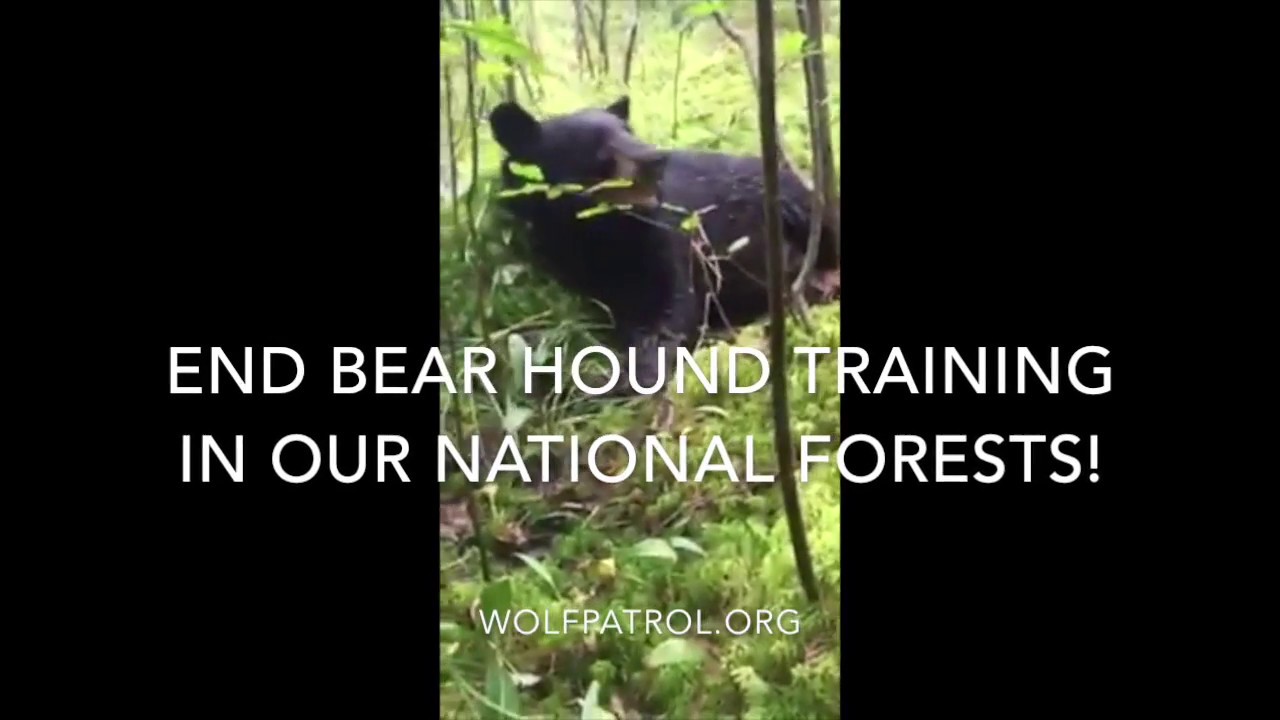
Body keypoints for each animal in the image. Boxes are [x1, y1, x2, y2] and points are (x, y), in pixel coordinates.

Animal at [488, 96, 840, 390]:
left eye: (628, 130)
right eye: (600, 145)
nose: (656, 158)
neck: (600, 232)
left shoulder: (665, 239)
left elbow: (675, 309)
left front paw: (634, 374)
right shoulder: (567, 265)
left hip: (800, 206)